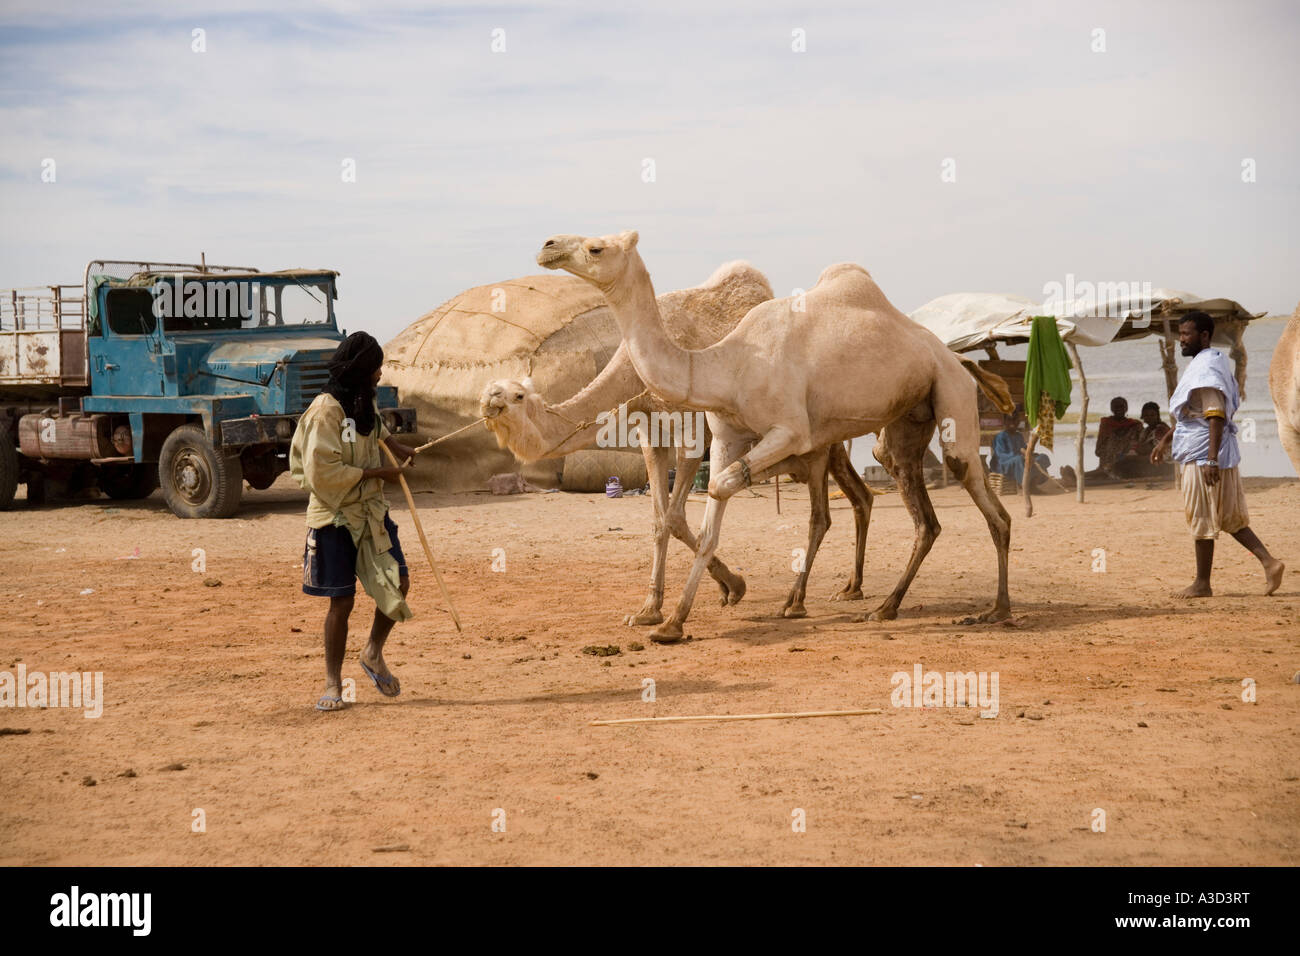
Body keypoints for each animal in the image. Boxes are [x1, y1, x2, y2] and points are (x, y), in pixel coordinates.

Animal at [479, 262, 875, 625]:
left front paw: (732, 586)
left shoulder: (691, 433)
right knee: (860, 496)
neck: (635, 371)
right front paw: (652, 607)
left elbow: (674, 516)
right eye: (491, 388)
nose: (487, 400)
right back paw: (850, 588)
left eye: (516, 395)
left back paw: (802, 600)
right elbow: (660, 519)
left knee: (825, 512)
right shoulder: (649, 435)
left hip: (818, 436)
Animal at [536, 230, 1015, 643]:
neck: (728, 364)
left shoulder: (788, 431)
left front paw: (720, 595)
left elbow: (719, 485)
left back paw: (997, 609)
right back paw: (883, 606)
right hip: (904, 420)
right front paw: (672, 620)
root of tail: (956, 356)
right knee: (918, 510)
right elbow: (706, 509)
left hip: (949, 392)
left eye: (596, 248)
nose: (547, 246)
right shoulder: (724, 436)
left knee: (978, 493)